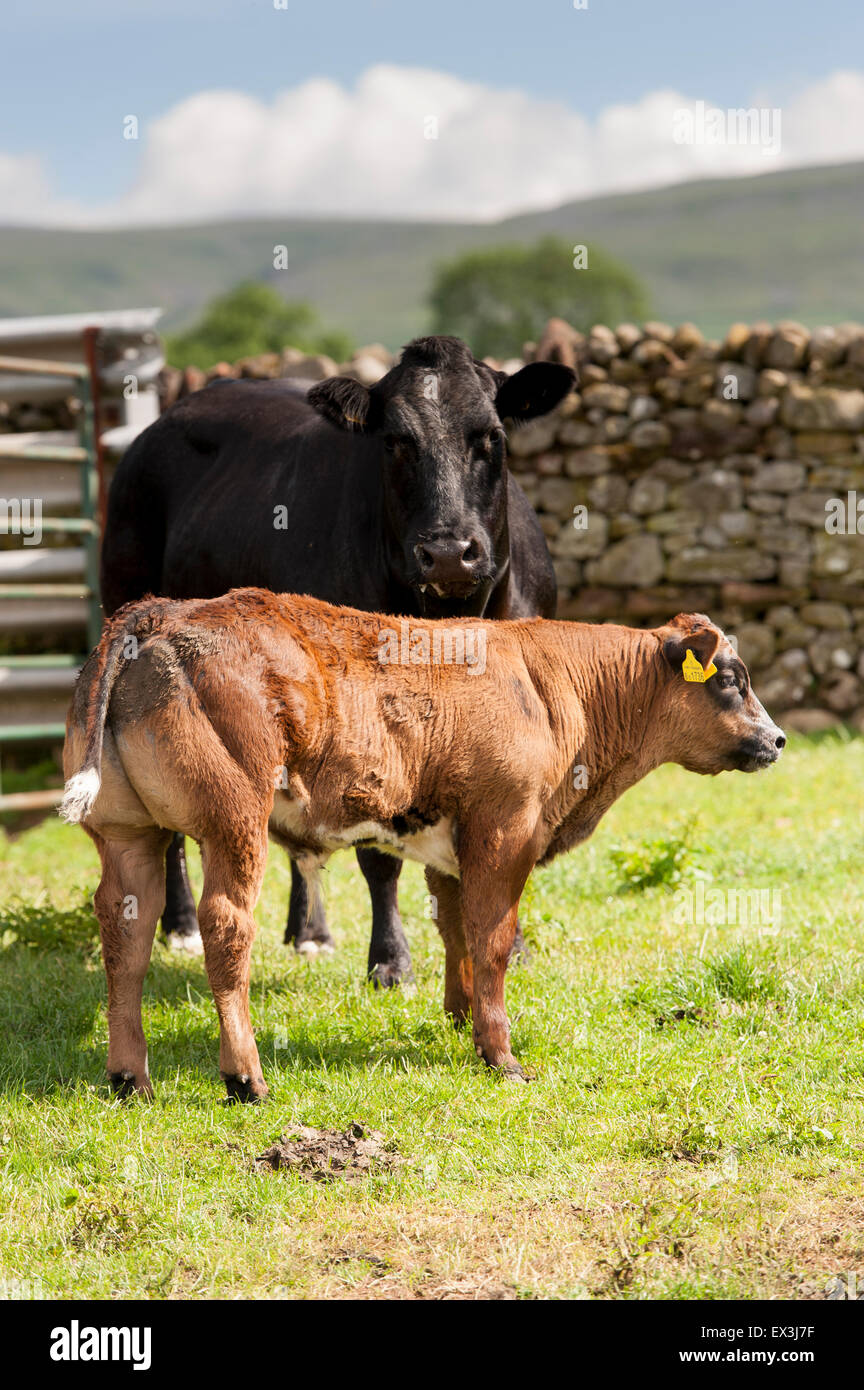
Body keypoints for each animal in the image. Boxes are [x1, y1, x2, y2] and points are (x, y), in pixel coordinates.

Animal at [60, 590, 785, 1100]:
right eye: (729, 679)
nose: (776, 739)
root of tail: (158, 610)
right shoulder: (505, 827)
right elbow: (493, 939)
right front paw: (501, 1055)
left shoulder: (453, 844)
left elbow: (457, 929)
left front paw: (462, 1020)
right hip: (234, 816)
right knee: (225, 923)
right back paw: (246, 1077)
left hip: (128, 832)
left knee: (126, 929)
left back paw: (129, 1077)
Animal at [100, 335, 575, 985]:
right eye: (395, 442)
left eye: (491, 437)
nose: (448, 553)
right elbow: (378, 856)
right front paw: (390, 961)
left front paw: (514, 946)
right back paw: (180, 926)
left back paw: (309, 931)